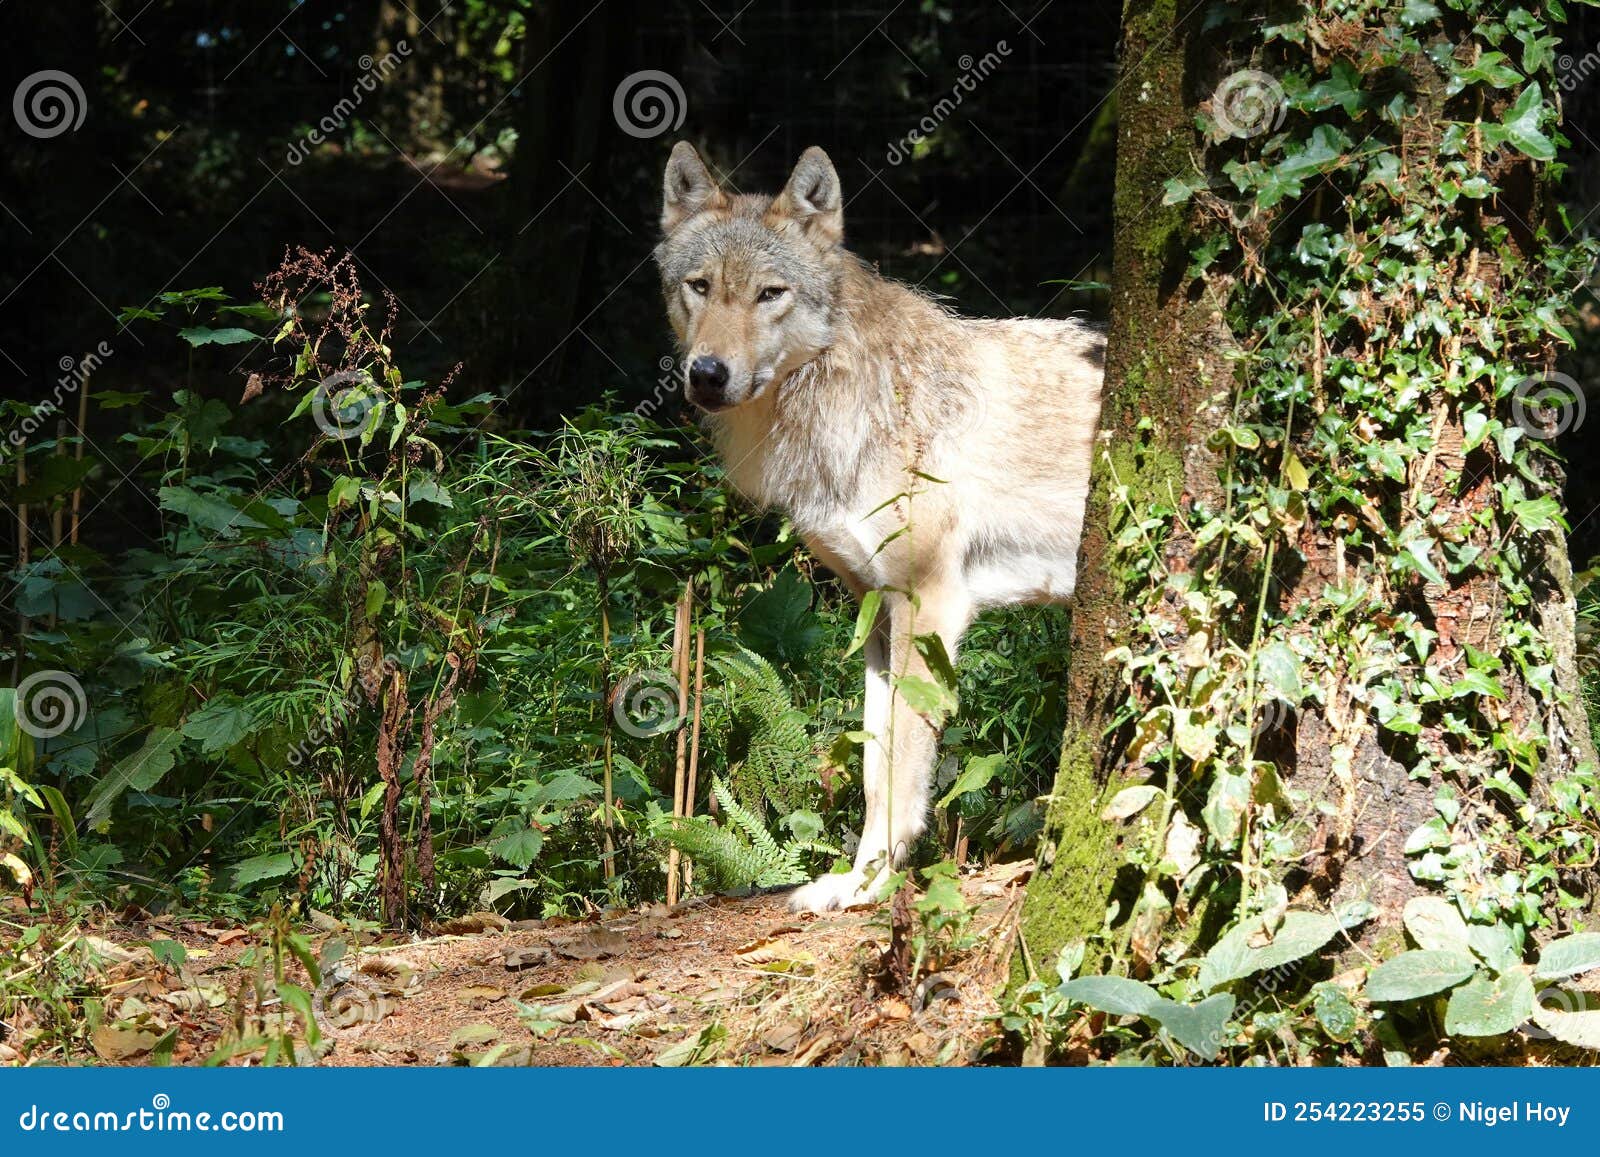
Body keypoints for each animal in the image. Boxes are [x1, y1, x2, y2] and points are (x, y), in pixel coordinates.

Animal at [655, 142, 1104, 912]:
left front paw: (873, 886)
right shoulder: (876, 613)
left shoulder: (929, 606)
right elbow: (871, 766)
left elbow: (900, 765)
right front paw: (854, 877)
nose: (707, 373)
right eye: (700, 287)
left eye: (770, 294)